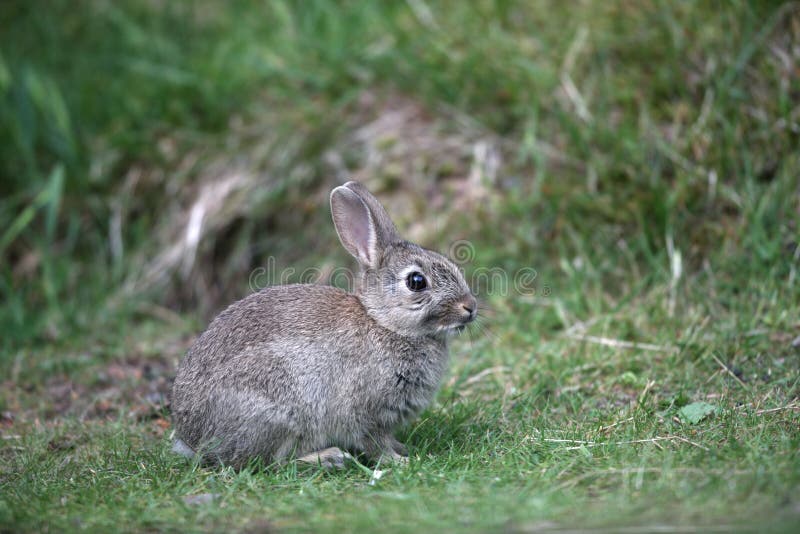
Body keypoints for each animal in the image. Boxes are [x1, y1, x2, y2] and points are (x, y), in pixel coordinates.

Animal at [170, 181, 477, 469]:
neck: (384, 324)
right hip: (276, 410)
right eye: (416, 281)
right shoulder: (364, 410)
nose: (470, 307)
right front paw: (400, 461)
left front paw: (404, 449)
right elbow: (374, 442)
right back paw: (329, 458)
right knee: (264, 462)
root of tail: (191, 439)